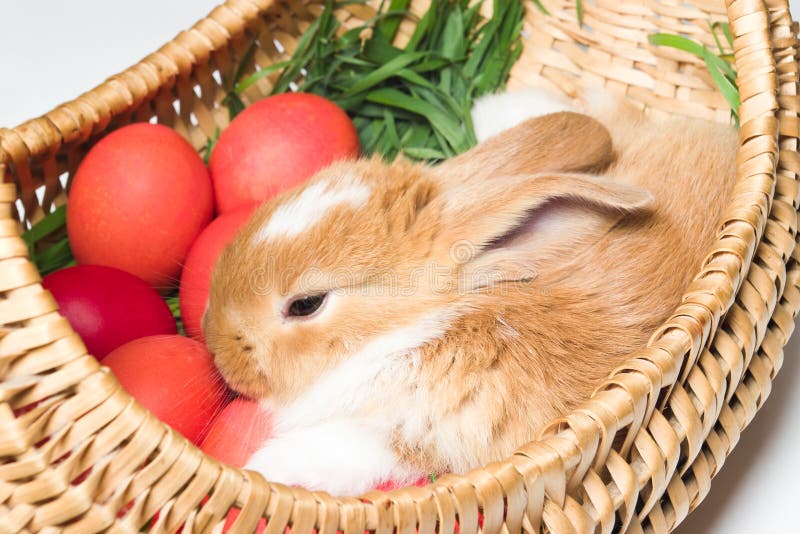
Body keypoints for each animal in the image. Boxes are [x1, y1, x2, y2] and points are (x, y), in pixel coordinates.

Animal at [202, 86, 738, 496]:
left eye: (306, 305)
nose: (213, 340)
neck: (419, 325)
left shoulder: (428, 431)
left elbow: (349, 449)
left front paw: (263, 466)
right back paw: (499, 107)